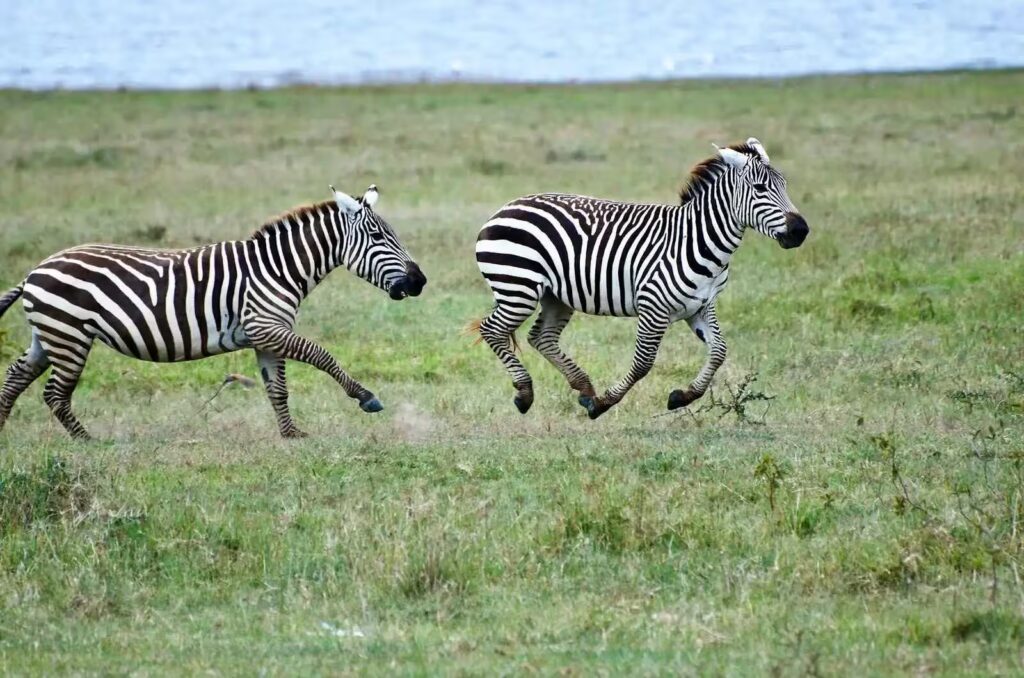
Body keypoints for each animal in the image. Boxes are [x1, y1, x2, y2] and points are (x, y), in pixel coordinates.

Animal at [0, 184, 427, 439]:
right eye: (377, 237)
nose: (419, 281)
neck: (279, 268)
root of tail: (35, 270)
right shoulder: (266, 327)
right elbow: (321, 355)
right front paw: (365, 396)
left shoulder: (265, 336)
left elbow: (277, 389)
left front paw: (291, 435)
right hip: (69, 336)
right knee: (55, 394)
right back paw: (88, 442)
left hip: (50, 336)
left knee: (16, 378)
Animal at [470, 138, 808, 419]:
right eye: (760, 189)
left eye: (785, 185)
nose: (800, 231)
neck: (699, 241)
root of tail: (507, 206)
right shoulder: (653, 307)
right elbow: (643, 362)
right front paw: (603, 404)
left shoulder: (701, 307)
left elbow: (719, 352)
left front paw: (683, 396)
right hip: (519, 289)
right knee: (492, 329)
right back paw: (525, 393)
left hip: (555, 297)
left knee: (541, 337)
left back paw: (583, 387)